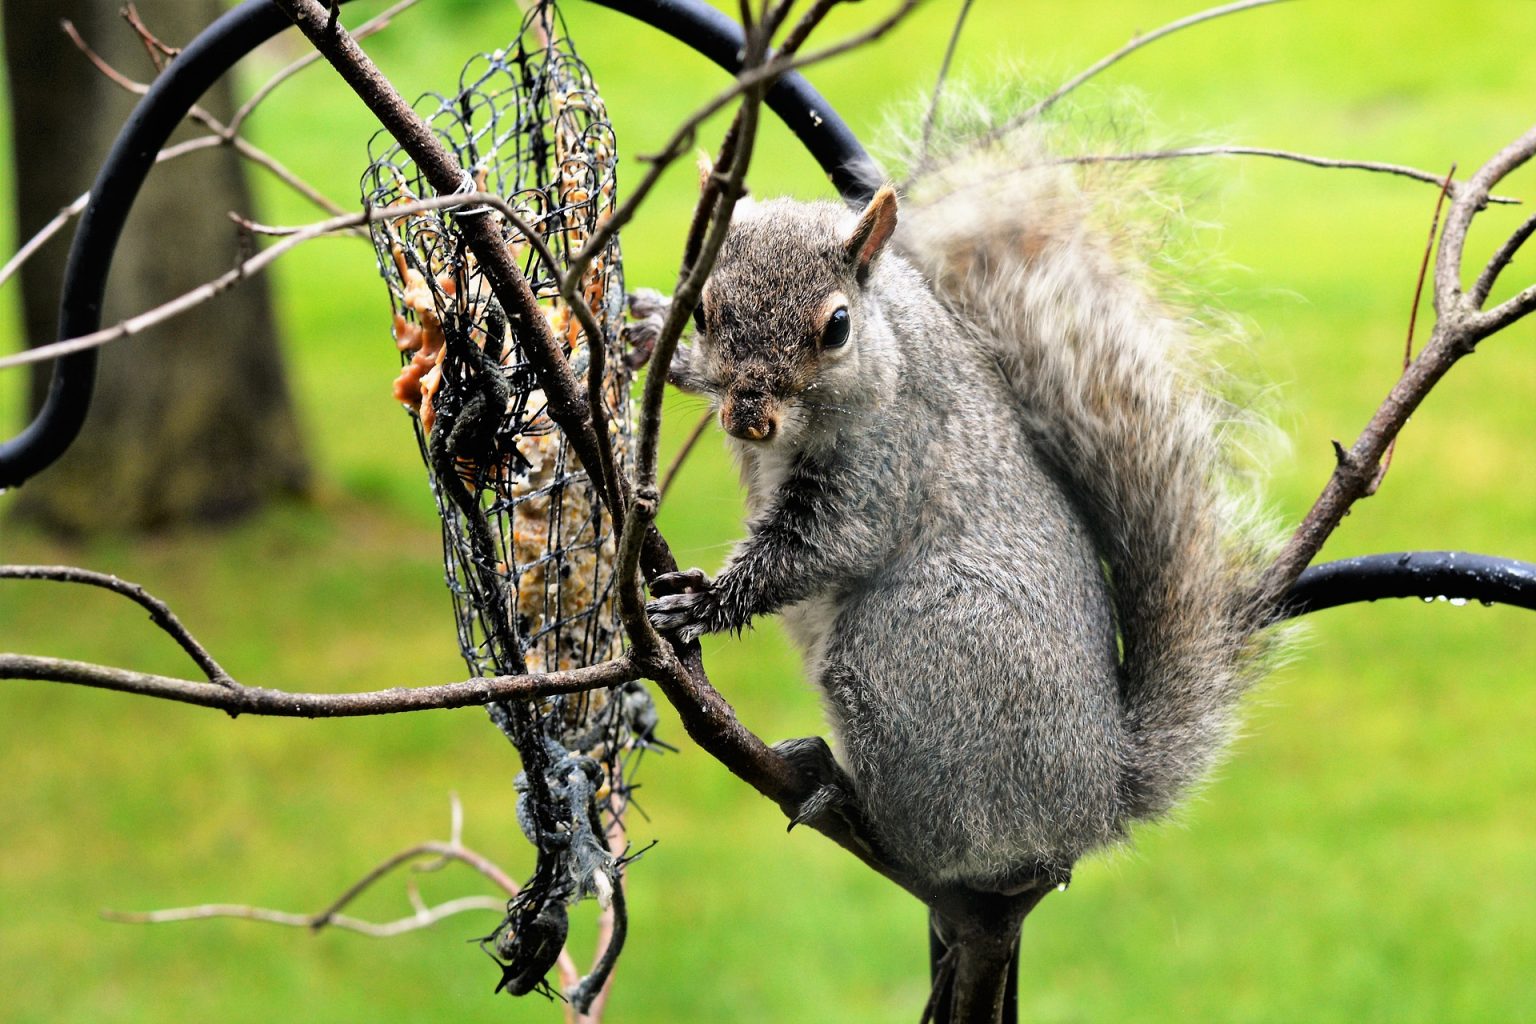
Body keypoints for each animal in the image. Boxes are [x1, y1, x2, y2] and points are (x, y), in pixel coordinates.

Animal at [644, 142, 1278, 892]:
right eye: (702, 313)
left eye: (837, 327)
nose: (749, 419)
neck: (884, 339)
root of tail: (1097, 798)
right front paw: (649, 329)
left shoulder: (888, 457)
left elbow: (828, 544)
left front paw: (702, 604)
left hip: (913, 648)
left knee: (941, 843)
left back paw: (842, 791)